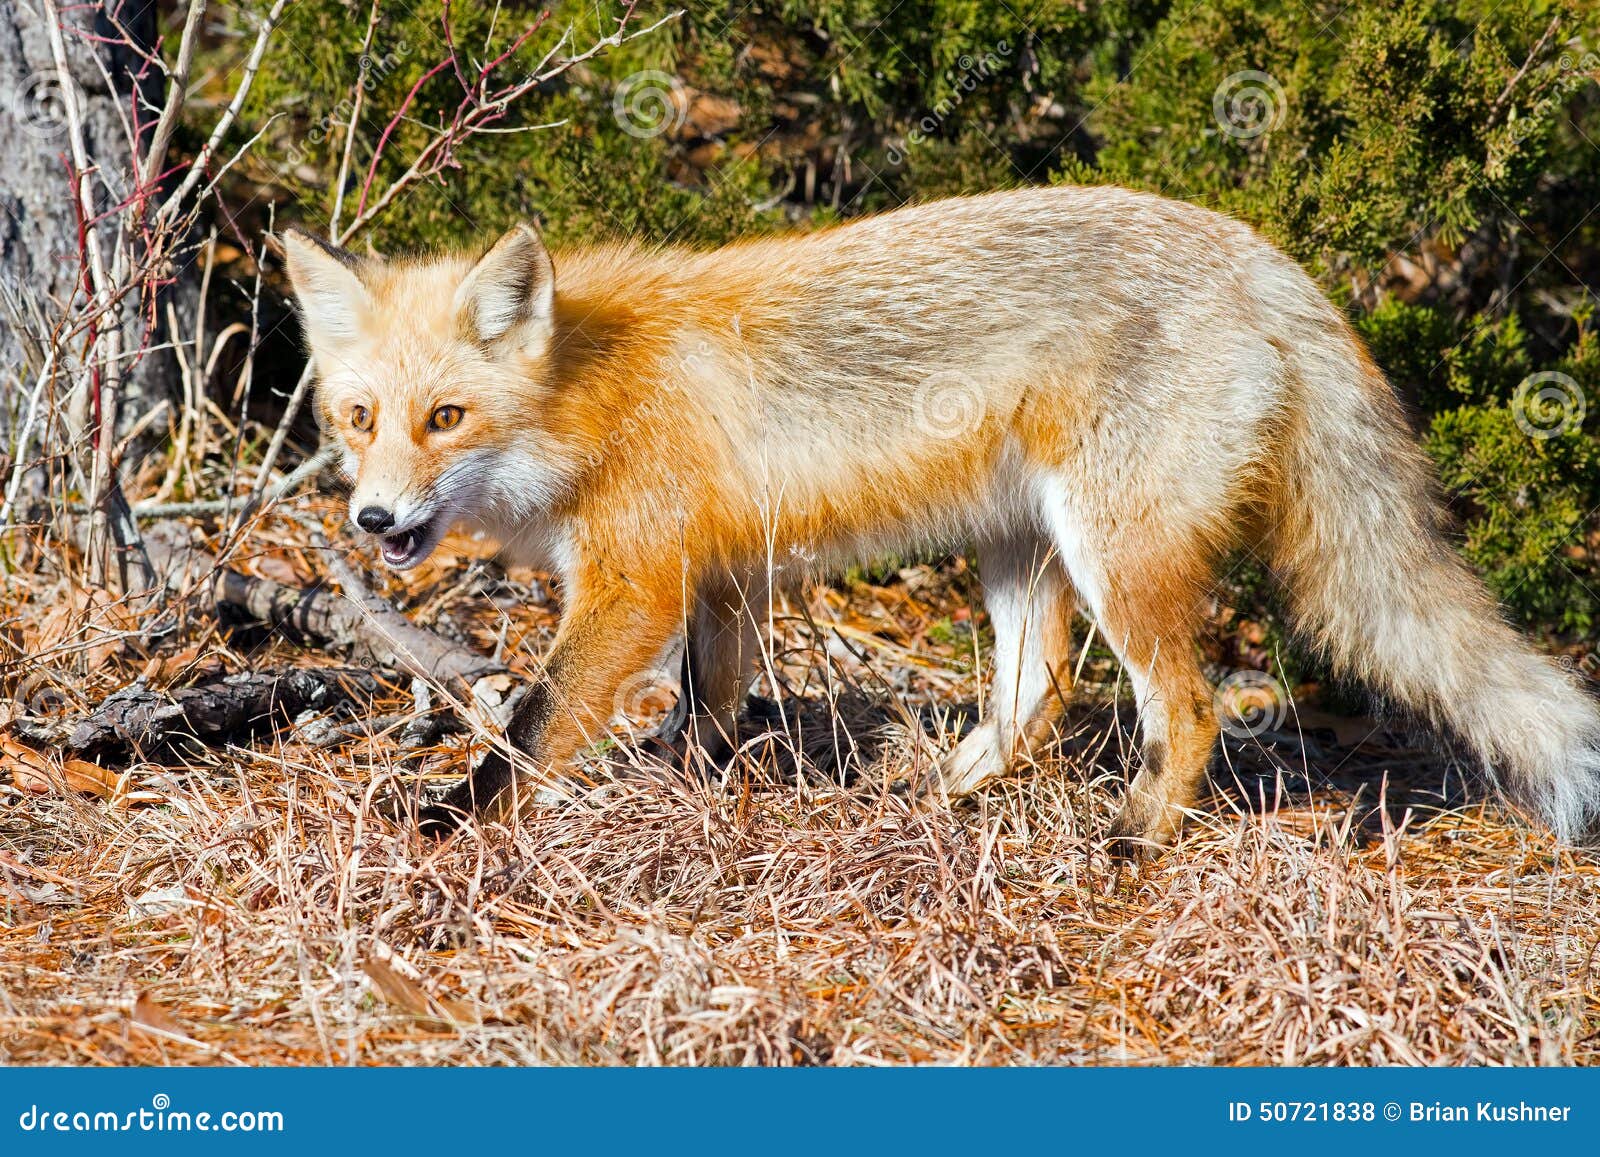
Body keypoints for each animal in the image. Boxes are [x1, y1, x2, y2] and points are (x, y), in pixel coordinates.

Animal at [279, 184, 1600, 852]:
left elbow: (532, 721)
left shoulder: (634, 581)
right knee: (1038, 692)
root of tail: (1268, 258)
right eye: (359, 416)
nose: (374, 518)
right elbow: (708, 711)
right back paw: (936, 799)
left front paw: (451, 823)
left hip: (1112, 551)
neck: (589, 397)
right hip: (1020, 546)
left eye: (447, 416)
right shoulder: (722, 578)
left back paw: (1135, 842)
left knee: (1185, 706)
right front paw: (702, 797)